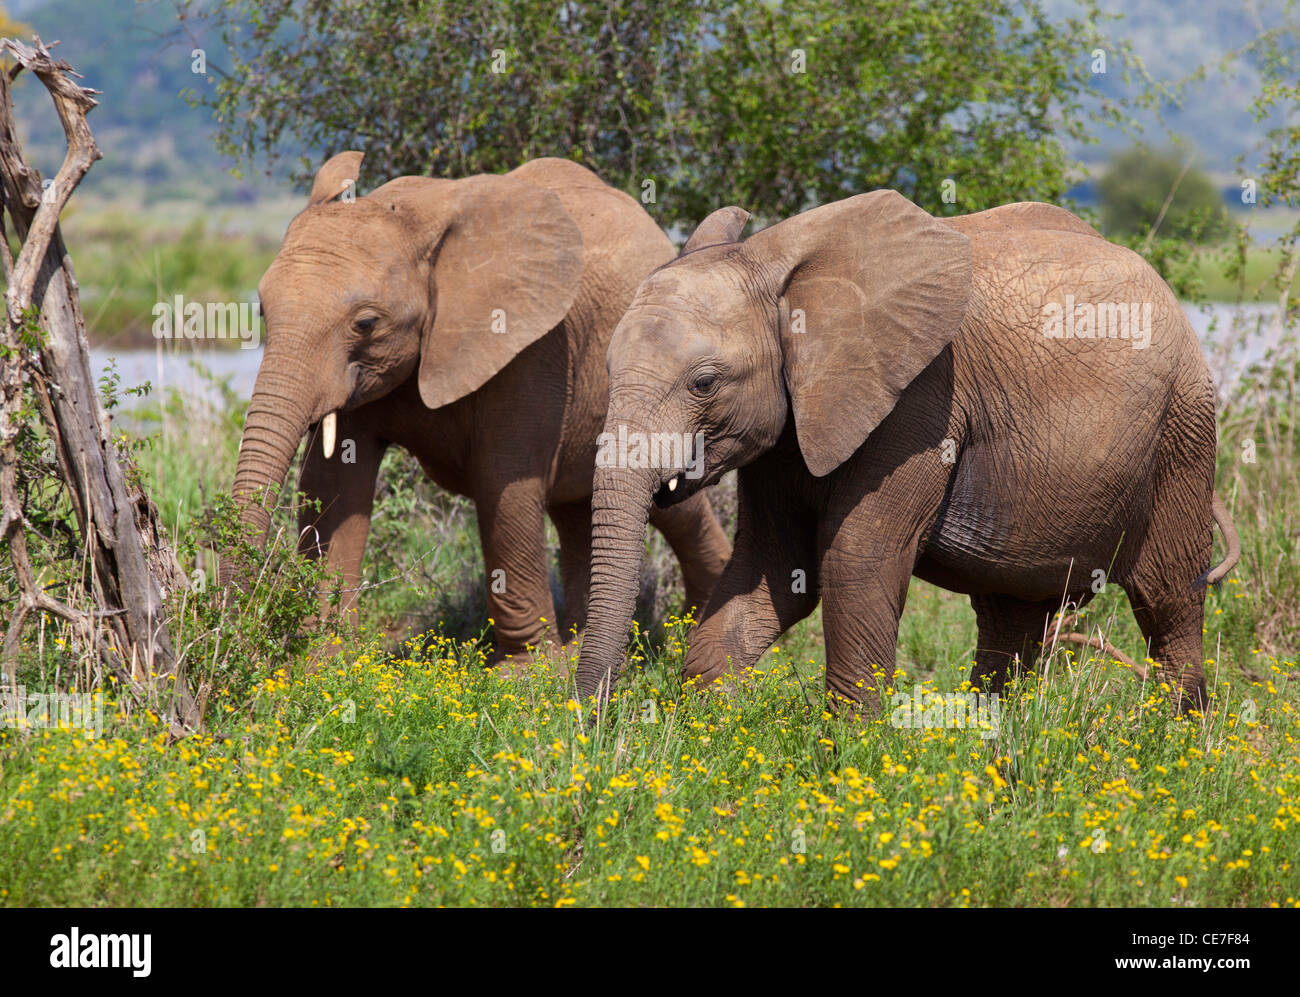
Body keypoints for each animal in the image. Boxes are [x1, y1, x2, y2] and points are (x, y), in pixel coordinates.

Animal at [228, 153, 731, 660]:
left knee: (673, 506)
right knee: (576, 506)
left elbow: (501, 480)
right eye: (262, 312)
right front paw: (321, 661)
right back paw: (581, 643)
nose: (236, 625)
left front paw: (528, 668)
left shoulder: (532, 343)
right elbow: (334, 483)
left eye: (366, 324)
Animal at [572, 190, 1240, 711]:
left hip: (1184, 429)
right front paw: (706, 728)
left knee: (1169, 599)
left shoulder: (921, 405)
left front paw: (849, 758)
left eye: (704, 383)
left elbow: (855, 562)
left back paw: (1176, 747)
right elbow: (773, 568)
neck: (776, 262)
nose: (594, 721)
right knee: (1010, 614)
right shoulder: (788, 426)